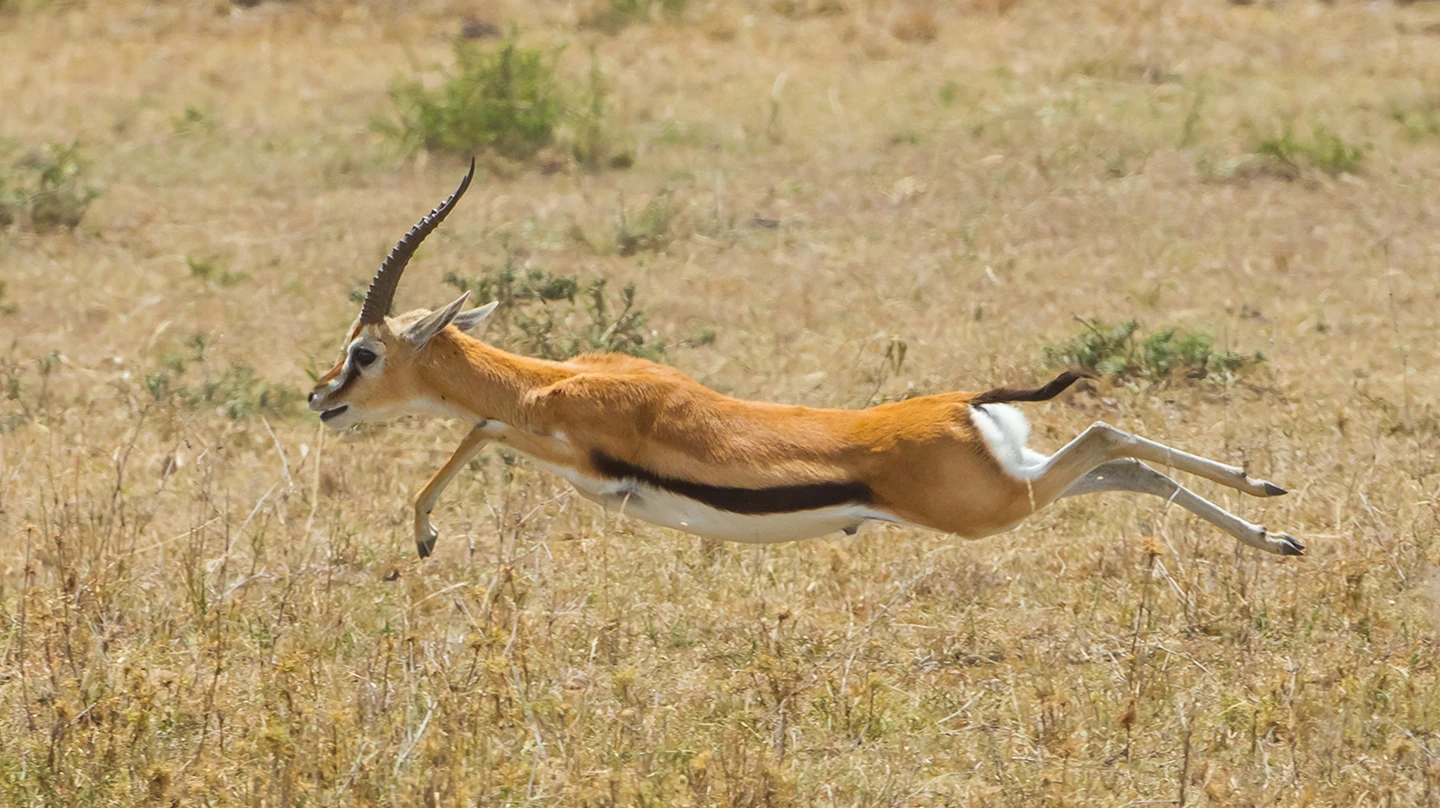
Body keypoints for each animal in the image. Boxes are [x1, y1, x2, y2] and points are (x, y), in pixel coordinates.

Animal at [307, 162, 1304, 560]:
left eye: (364, 350)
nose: (319, 397)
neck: (561, 379)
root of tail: (960, 402)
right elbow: (477, 428)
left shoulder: (569, 453)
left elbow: (478, 427)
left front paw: (426, 536)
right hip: (1013, 484)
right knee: (1119, 461)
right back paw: (1275, 522)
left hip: (991, 506)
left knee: (1103, 437)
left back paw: (1272, 514)